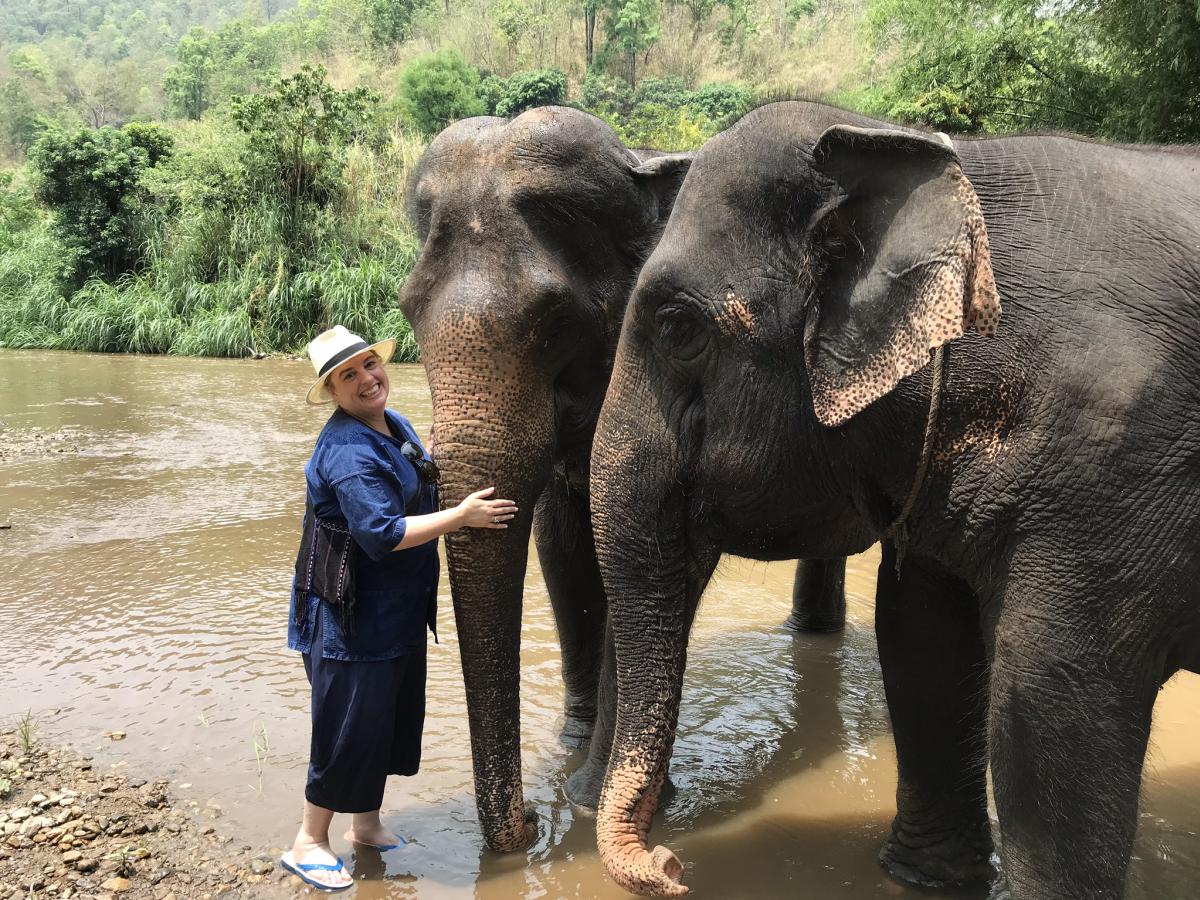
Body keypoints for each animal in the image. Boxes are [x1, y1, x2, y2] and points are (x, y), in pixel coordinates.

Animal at [398, 106, 849, 852]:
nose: (529, 823)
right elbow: (562, 544)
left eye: (555, 322)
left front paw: (593, 799)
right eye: (407, 310)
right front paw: (572, 746)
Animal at [588, 98, 1200, 899]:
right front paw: (924, 880)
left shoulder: (1108, 460)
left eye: (679, 328)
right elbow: (921, 639)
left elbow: (1050, 703)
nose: (672, 864)